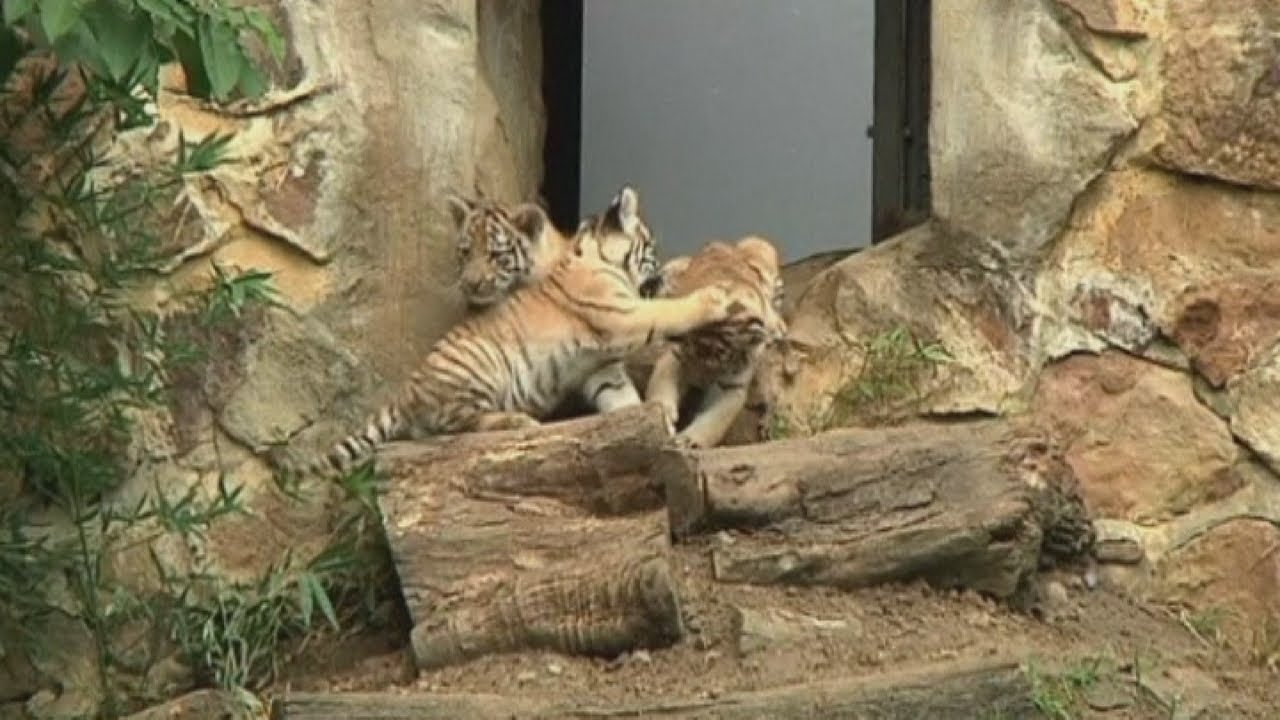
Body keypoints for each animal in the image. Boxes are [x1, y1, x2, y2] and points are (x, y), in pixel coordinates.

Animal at [643, 235, 788, 449]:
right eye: (693, 355)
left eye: (721, 357)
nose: (698, 383)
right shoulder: (674, 357)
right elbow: (660, 388)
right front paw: (663, 417)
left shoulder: (732, 385)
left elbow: (716, 419)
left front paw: (689, 440)